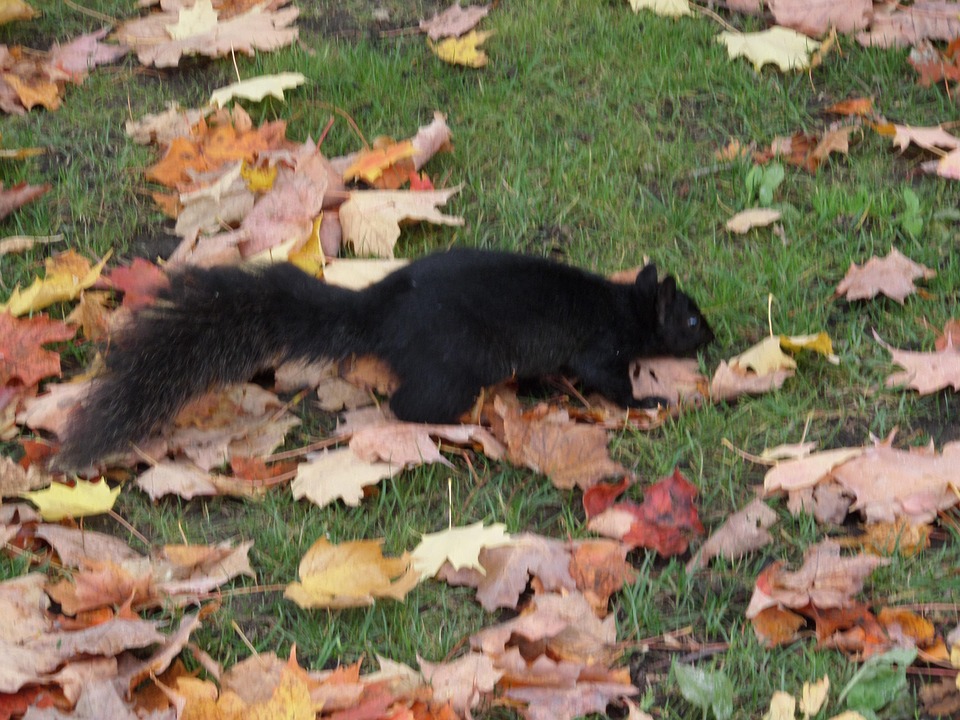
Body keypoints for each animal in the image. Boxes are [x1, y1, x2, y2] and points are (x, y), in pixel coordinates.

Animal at [52, 248, 714, 471]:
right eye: (688, 319)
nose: (711, 335)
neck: (624, 305)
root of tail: (380, 311)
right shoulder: (600, 347)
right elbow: (607, 381)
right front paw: (651, 398)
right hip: (451, 362)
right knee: (409, 403)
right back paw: (457, 422)